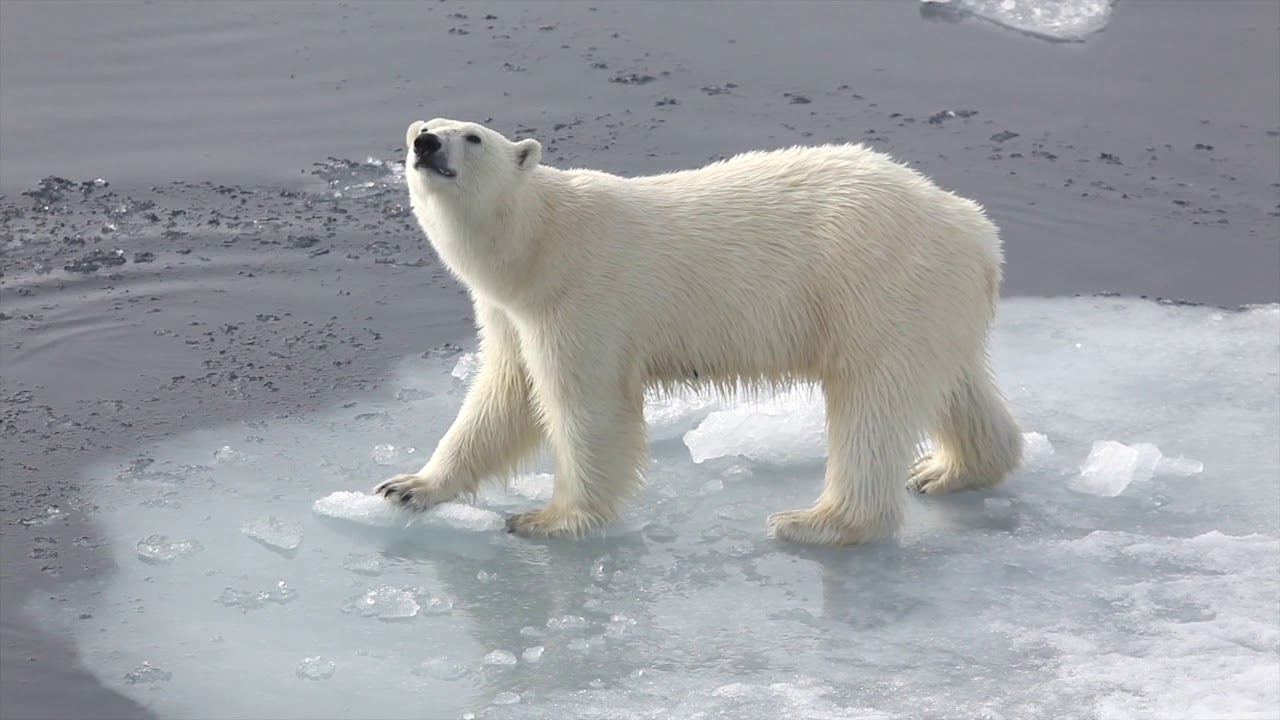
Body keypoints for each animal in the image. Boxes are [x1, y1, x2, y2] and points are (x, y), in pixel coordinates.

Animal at [374, 118, 1024, 545]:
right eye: (423, 126)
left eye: (473, 136)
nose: (425, 143)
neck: (541, 243)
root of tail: (976, 231)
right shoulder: (511, 313)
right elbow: (502, 397)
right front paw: (408, 485)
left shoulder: (584, 299)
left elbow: (587, 407)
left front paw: (550, 518)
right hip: (930, 300)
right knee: (955, 385)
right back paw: (948, 469)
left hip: (875, 284)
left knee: (872, 405)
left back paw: (816, 522)